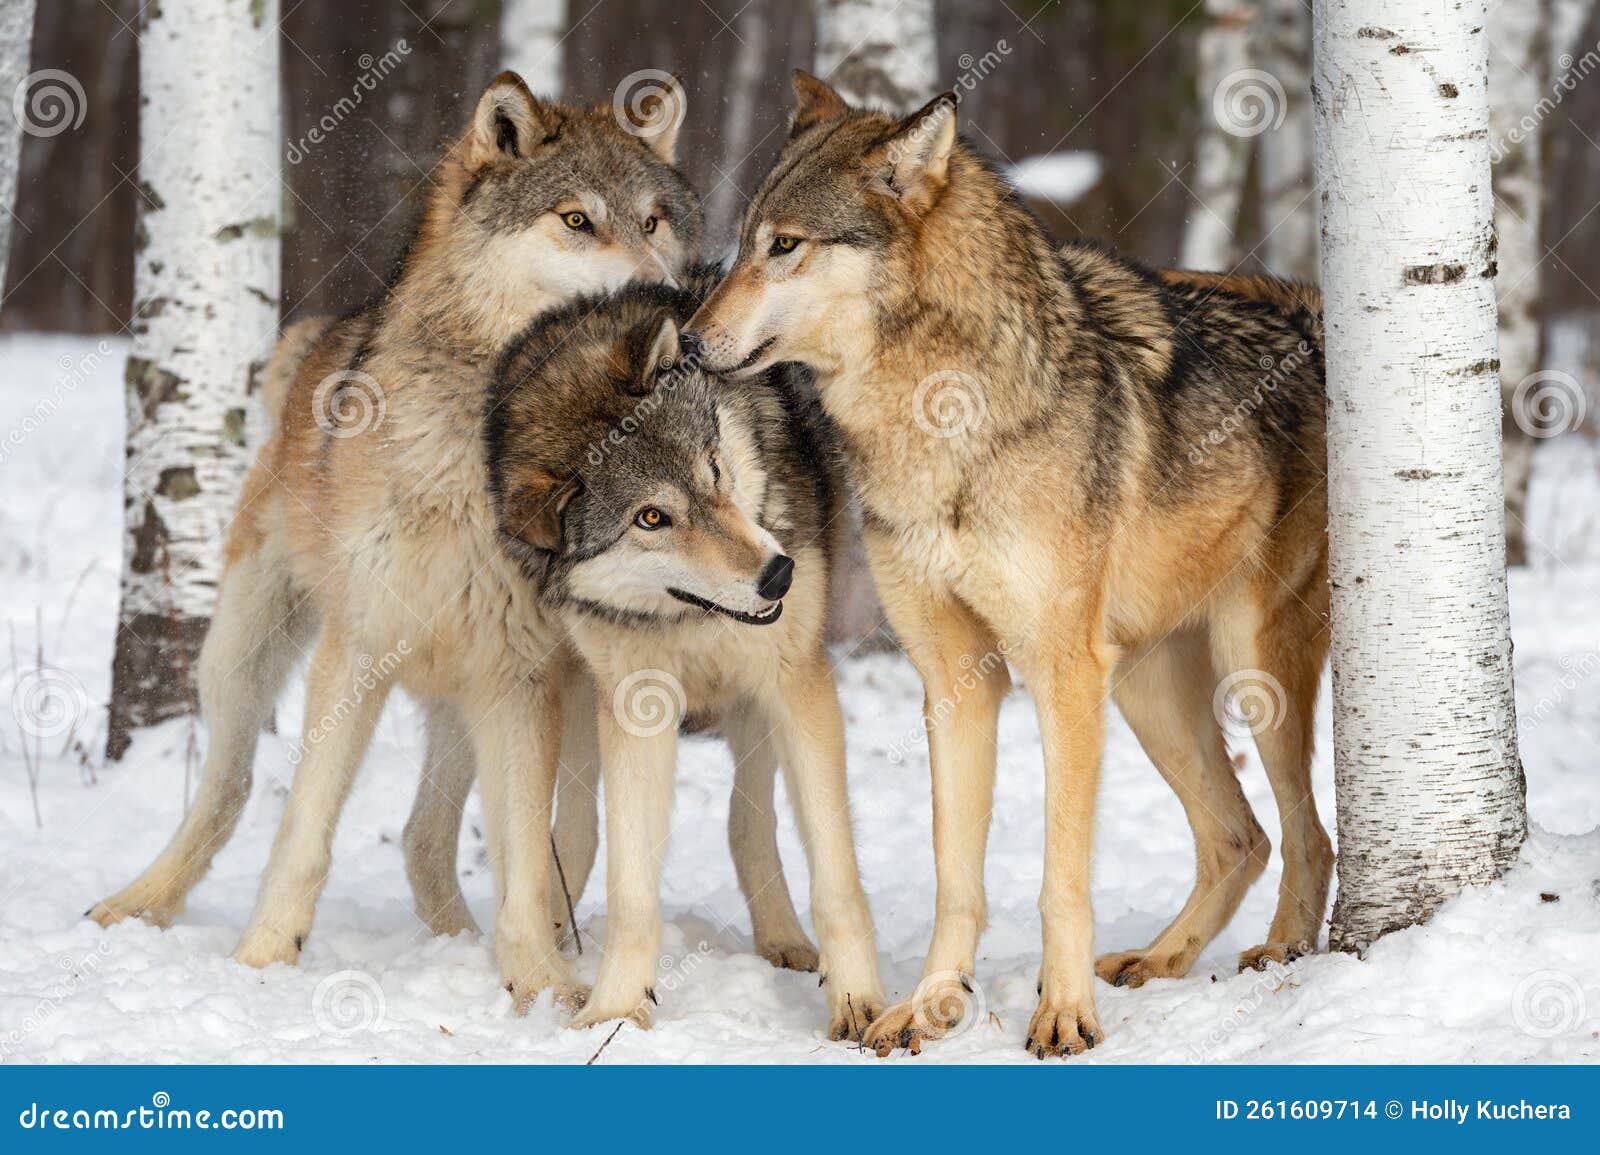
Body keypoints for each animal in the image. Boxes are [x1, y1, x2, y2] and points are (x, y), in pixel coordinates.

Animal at [87, 72, 704, 1009]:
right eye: (576, 220)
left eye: (654, 222)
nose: (672, 297)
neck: (478, 458)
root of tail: (324, 336)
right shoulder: (358, 647)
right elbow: (303, 831)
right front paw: (262, 959)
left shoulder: (520, 672)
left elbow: (526, 862)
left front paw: (540, 984)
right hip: (243, 653)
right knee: (229, 788)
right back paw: (138, 902)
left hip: (508, 696)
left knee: (441, 836)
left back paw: (471, 945)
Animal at [480, 272, 885, 1038]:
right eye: (651, 517)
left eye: (715, 469)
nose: (778, 576)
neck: (690, 617)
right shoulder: (637, 708)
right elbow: (631, 889)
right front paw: (613, 1009)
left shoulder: (796, 683)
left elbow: (838, 876)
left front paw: (859, 1004)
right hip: (574, 695)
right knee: (571, 829)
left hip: (758, 706)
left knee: (749, 823)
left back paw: (783, 940)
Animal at [686, 72, 1333, 1057]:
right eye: (743, 243)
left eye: (784, 245)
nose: (684, 340)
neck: (940, 418)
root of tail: (1309, 310)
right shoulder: (956, 675)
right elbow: (957, 876)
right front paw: (928, 1003)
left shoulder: (1062, 672)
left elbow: (1060, 877)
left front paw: (1062, 1013)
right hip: (1145, 688)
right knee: (1240, 836)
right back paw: (1158, 959)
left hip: (1250, 670)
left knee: (1307, 835)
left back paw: (1283, 952)